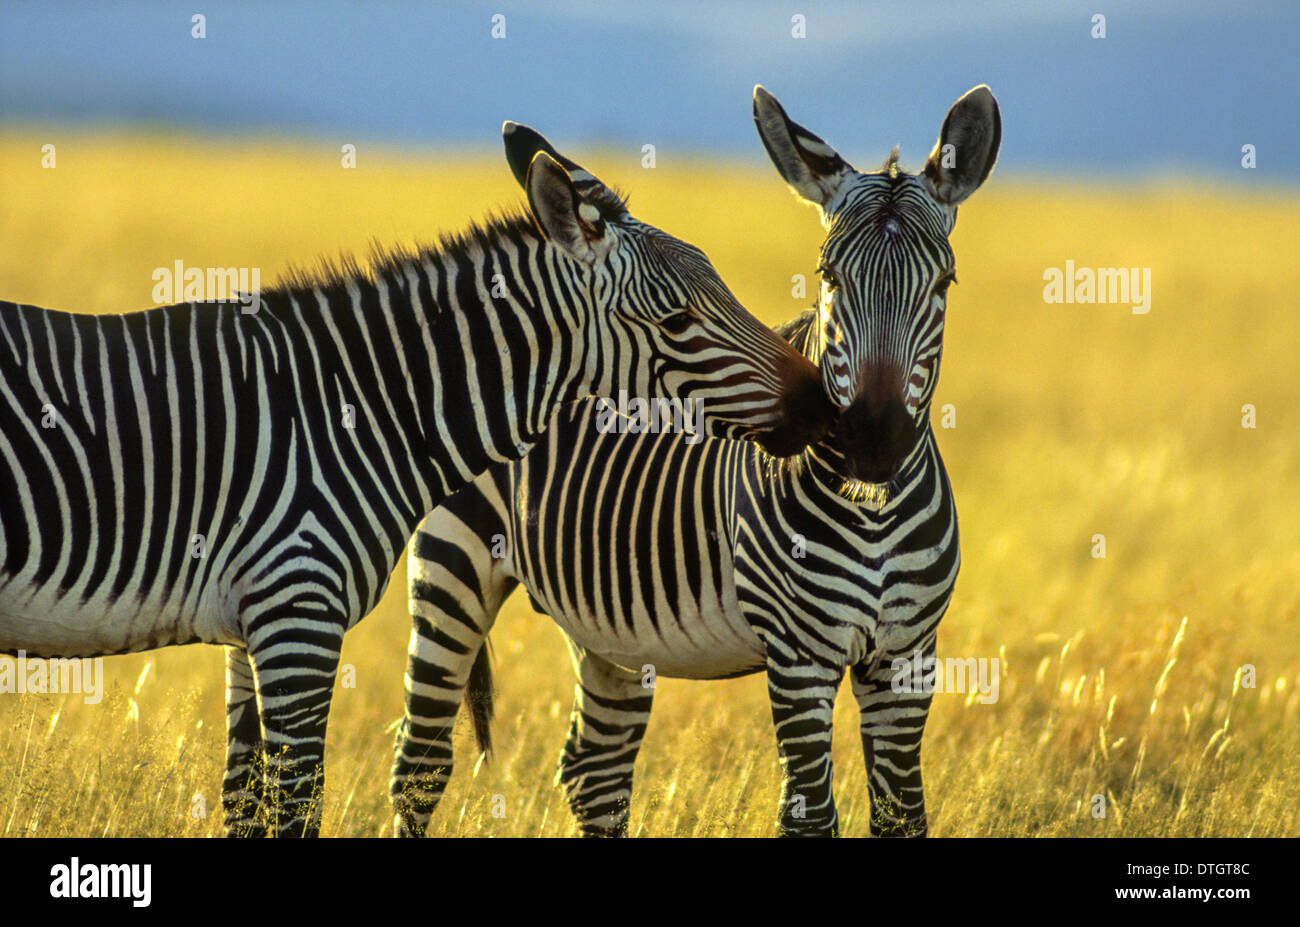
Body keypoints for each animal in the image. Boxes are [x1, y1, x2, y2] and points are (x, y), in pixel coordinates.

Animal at [0, 123, 836, 837]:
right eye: (676, 323)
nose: (821, 402)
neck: (356, 406)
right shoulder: (297, 606)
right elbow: (298, 801)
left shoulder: (252, 623)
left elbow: (249, 797)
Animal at [392, 85, 1001, 837]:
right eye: (828, 275)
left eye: (945, 282)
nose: (872, 440)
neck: (874, 516)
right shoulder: (799, 658)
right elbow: (810, 815)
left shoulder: (907, 658)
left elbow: (903, 816)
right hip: (453, 568)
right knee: (419, 767)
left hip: (610, 632)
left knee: (593, 771)